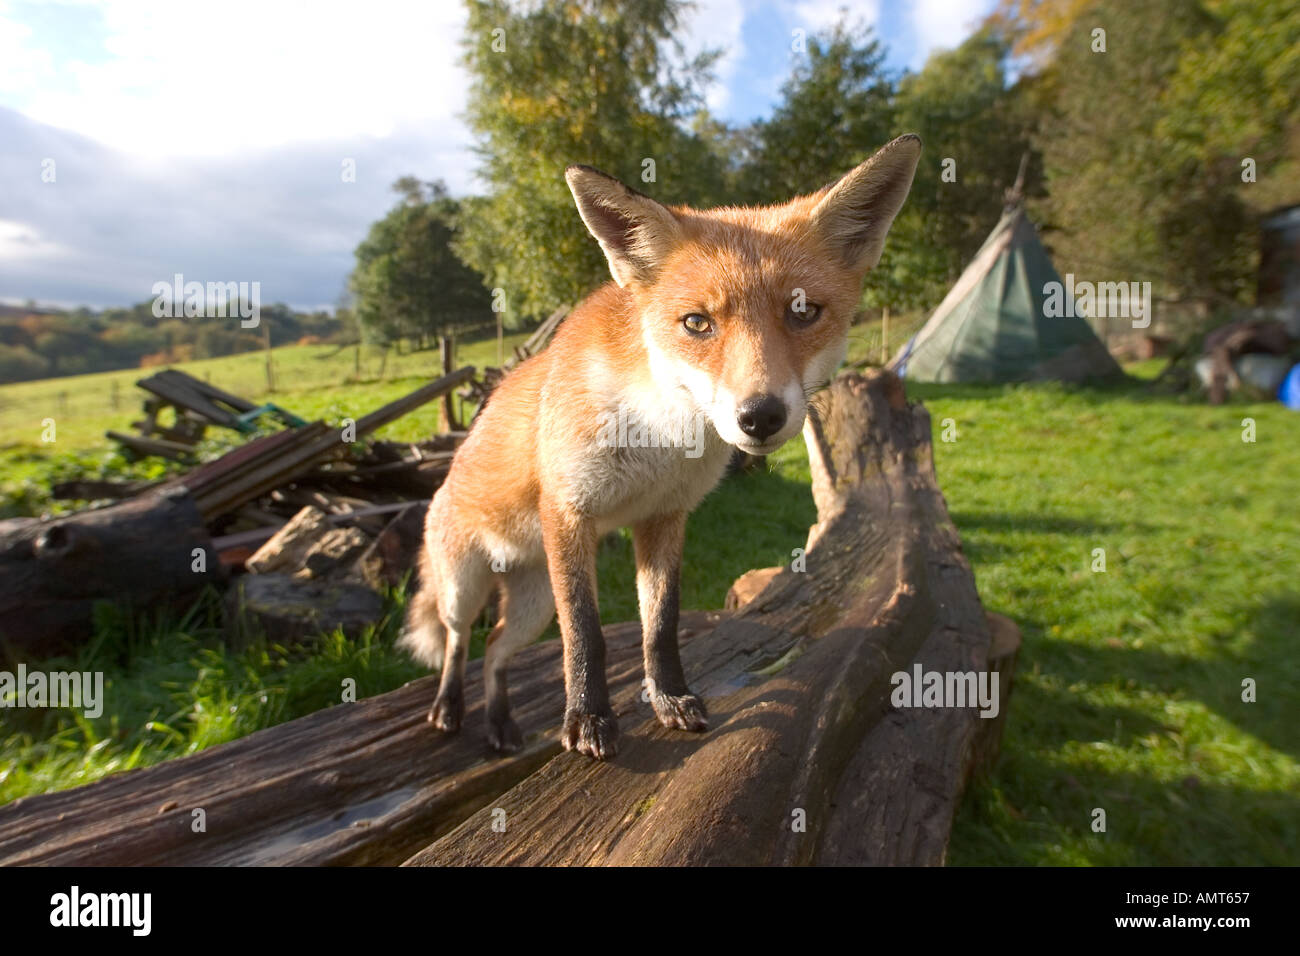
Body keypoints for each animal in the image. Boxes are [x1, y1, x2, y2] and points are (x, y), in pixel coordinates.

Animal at [399, 134, 922, 760]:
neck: (658, 438)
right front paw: (588, 718)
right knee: (458, 644)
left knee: (495, 650)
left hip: (532, 603)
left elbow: (661, 625)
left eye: (803, 312)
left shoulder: (664, 518)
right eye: (696, 323)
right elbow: (587, 634)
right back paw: (449, 708)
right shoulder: (568, 514)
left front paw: (669, 698)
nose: (759, 416)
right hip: (466, 588)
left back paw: (499, 722)